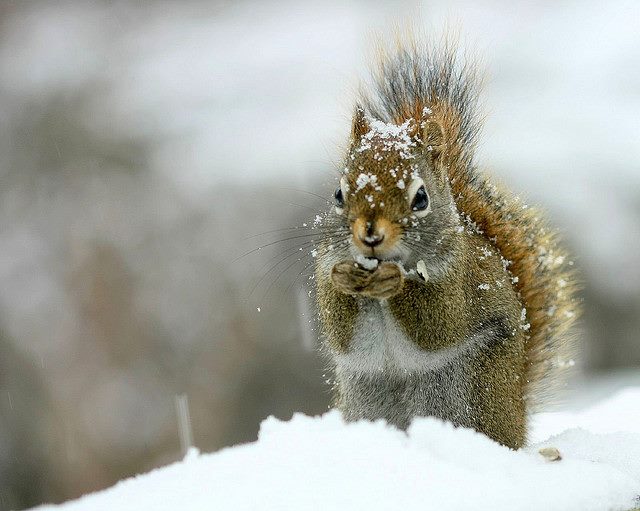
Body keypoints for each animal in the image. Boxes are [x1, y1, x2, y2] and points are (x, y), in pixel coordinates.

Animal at [313, 39, 580, 449]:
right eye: (338, 194)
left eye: (421, 198)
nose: (370, 235)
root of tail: (517, 417)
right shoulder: (323, 266)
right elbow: (338, 330)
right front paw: (345, 279)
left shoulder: (461, 279)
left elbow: (440, 323)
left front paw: (396, 283)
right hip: (367, 399)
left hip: (471, 390)